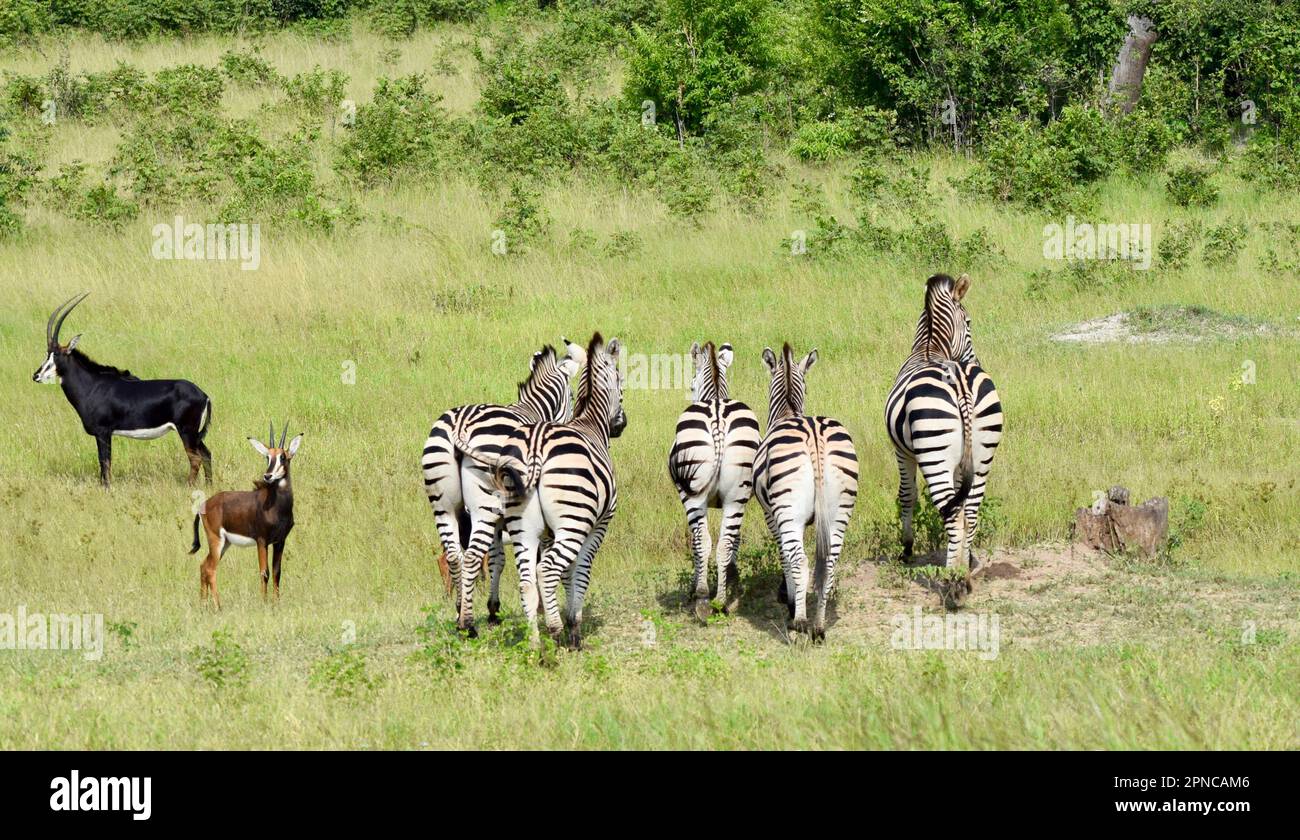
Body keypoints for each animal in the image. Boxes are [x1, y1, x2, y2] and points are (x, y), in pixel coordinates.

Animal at [421, 339, 585, 635]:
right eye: (571, 395)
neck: (532, 409)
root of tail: (459, 424)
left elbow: (498, 558)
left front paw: (494, 609)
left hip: (443, 503)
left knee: (454, 555)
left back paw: (459, 613)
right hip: (483, 503)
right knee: (471, 556)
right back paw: (468, 625)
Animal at [456, 332, 626, 649]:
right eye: (620, 380)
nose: (620, 425)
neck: (590, 424)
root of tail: (535, 448)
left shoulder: (546, 533)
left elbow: (564, 574)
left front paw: (551, 615)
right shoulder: (598, 525)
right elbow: (579, 572)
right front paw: (572, 624)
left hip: (514, 522)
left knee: (518, 576)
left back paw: (531, 642)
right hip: (567, 521)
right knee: (543, 570)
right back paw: (554, 634)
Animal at [668, 341, 761, 621]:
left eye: (691, 385)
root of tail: (718, 416)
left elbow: (698, 544)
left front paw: (696, 588)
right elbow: (736, 540)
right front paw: (733, 580)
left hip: (692, 495)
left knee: (702, 541)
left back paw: (702, 599)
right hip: (737, 495)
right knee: (724, 543)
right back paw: (722, 600)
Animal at [753, 344, 858, 641]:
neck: (788, 412)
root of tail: (814, 434)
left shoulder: (771, 515)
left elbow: (784, 555)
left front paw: (789, 599)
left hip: (789, 510)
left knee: (800, 560)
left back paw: (799, 623)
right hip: (840, 510)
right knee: (829, 564)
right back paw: (819, 627)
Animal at [885, 273, 1003, 608]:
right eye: (971, 323)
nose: (979, 358)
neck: (929, 349)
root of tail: (961, 380)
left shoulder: (902, 452)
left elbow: (907, 495)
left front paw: (907, 550)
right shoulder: (961, 463)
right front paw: (967, 556)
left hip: (933, 455)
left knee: (953, 515)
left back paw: (955, 585)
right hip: (983, 454)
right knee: (970, 512)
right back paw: (965, 574)